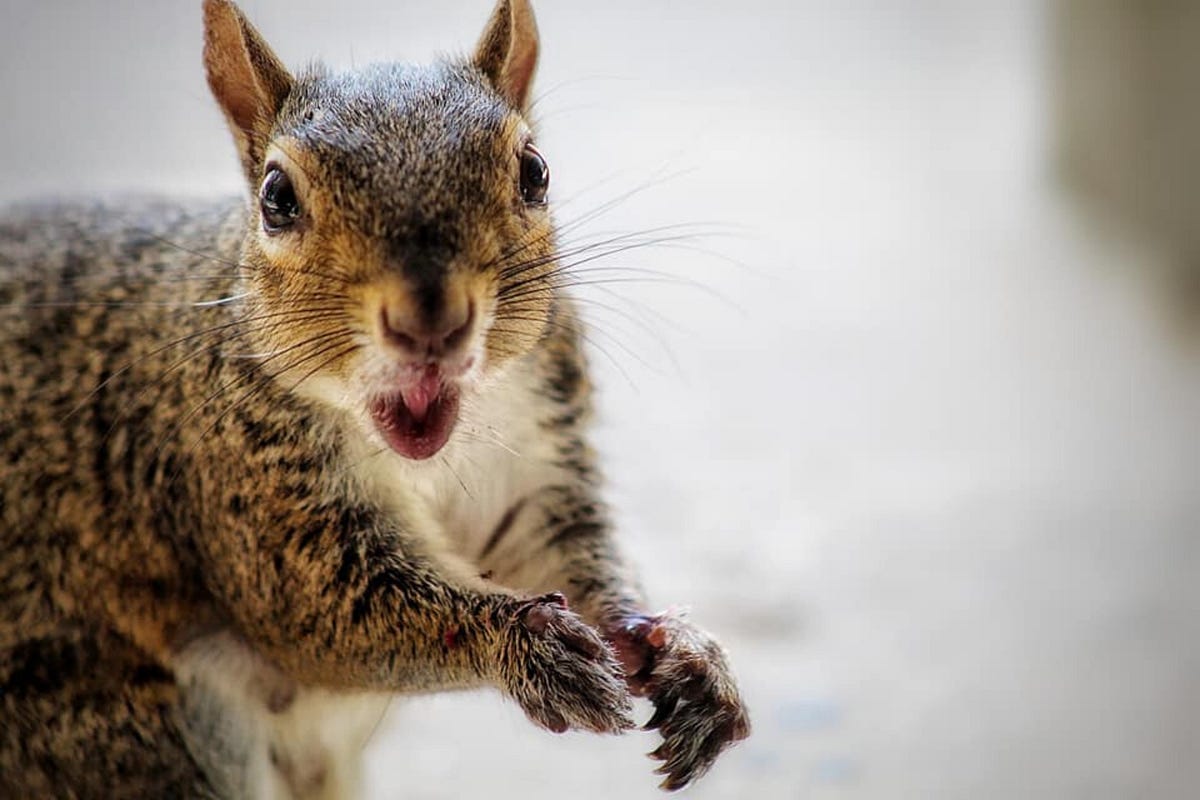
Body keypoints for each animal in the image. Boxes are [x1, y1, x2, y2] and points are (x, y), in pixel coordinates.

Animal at [0, 1, 750, 797]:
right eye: (276, 199)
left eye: (535, 172)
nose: (430, 319)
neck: (434, 456)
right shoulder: (243, 497)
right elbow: (327, 612)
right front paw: (525, 645)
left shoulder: (532, 459)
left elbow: (557, 551)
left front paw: (678, 647)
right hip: (139, 740)